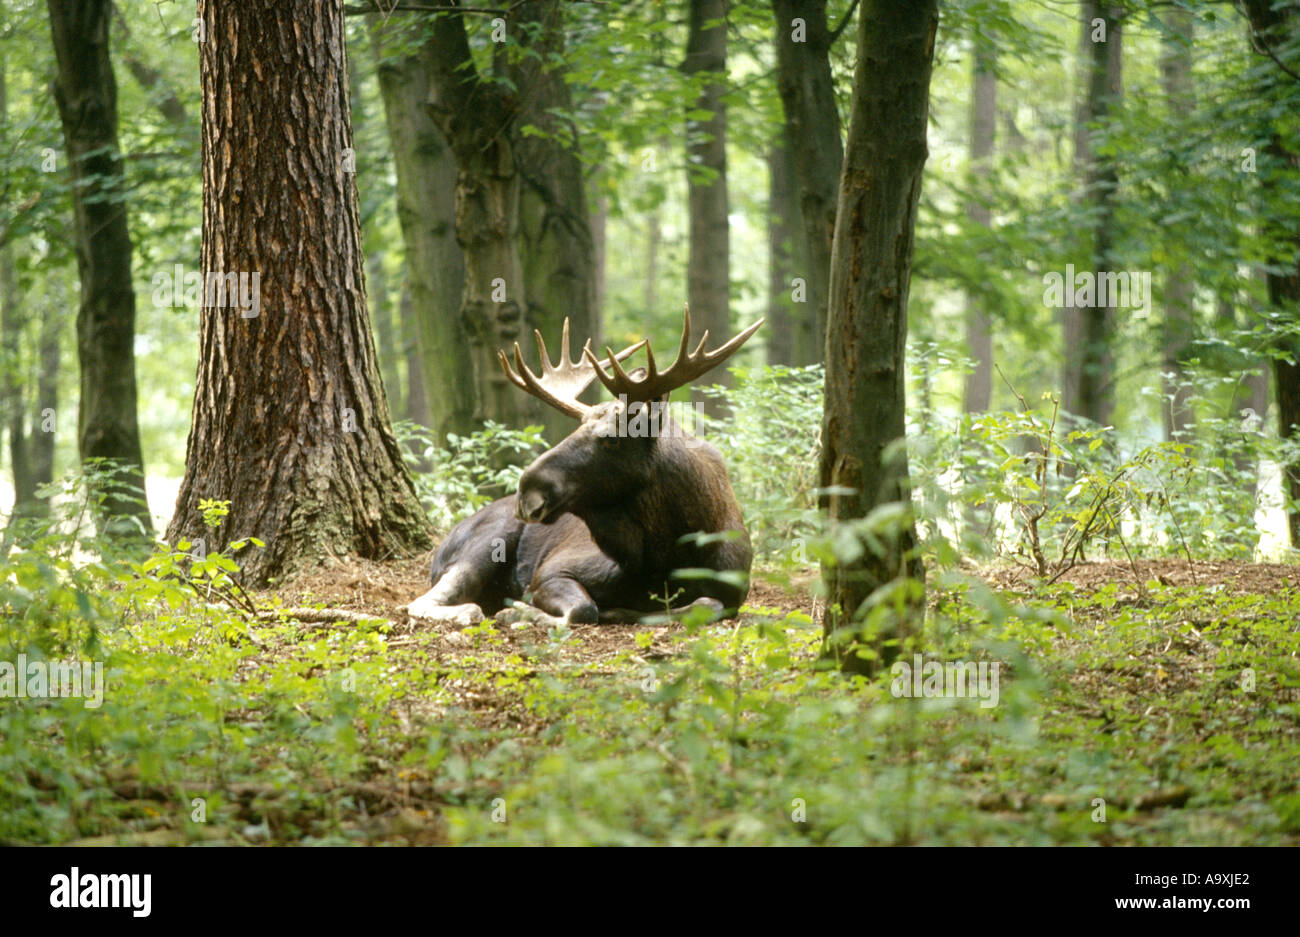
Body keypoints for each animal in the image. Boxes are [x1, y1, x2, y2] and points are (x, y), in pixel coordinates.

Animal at [404, 307, 763, 628]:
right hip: (486, 543)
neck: (672, 552)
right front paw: (518, 613)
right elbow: (582, 610)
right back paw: (471, 611)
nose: (527, 493)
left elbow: (704, 603)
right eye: (576, 427)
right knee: (422, 601)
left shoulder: (733, 591)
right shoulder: (551, 572)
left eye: (612, 439)